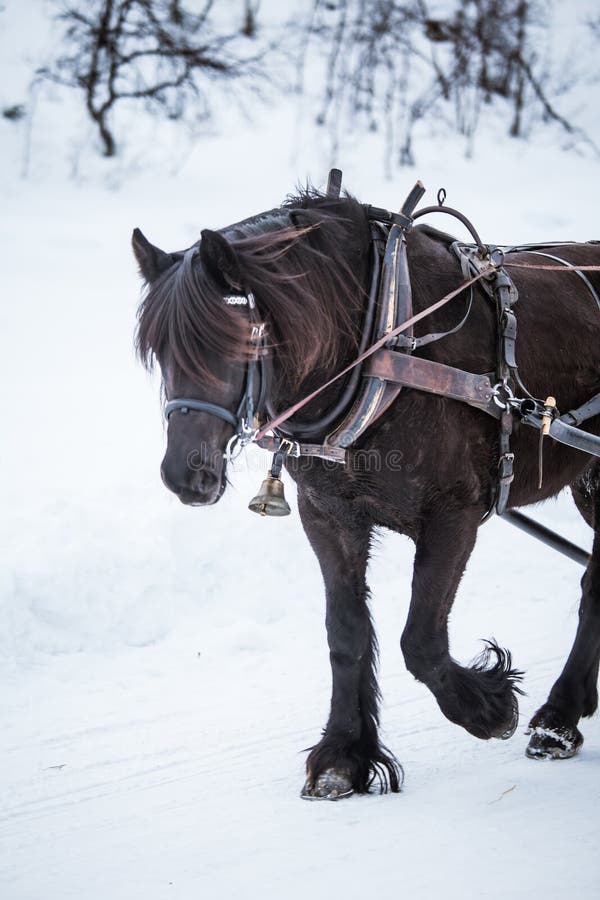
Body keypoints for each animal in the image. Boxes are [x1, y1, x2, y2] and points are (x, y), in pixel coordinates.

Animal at [133, 184, 600, 800]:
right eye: (159, 350)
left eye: (235, 343)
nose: (183, 476)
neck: (380, 341)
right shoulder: (328, 516)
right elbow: (346, 633)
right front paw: (343, 755)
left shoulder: (454, 512)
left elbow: (420, 640)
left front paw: (488, 707)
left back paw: (557, 719)